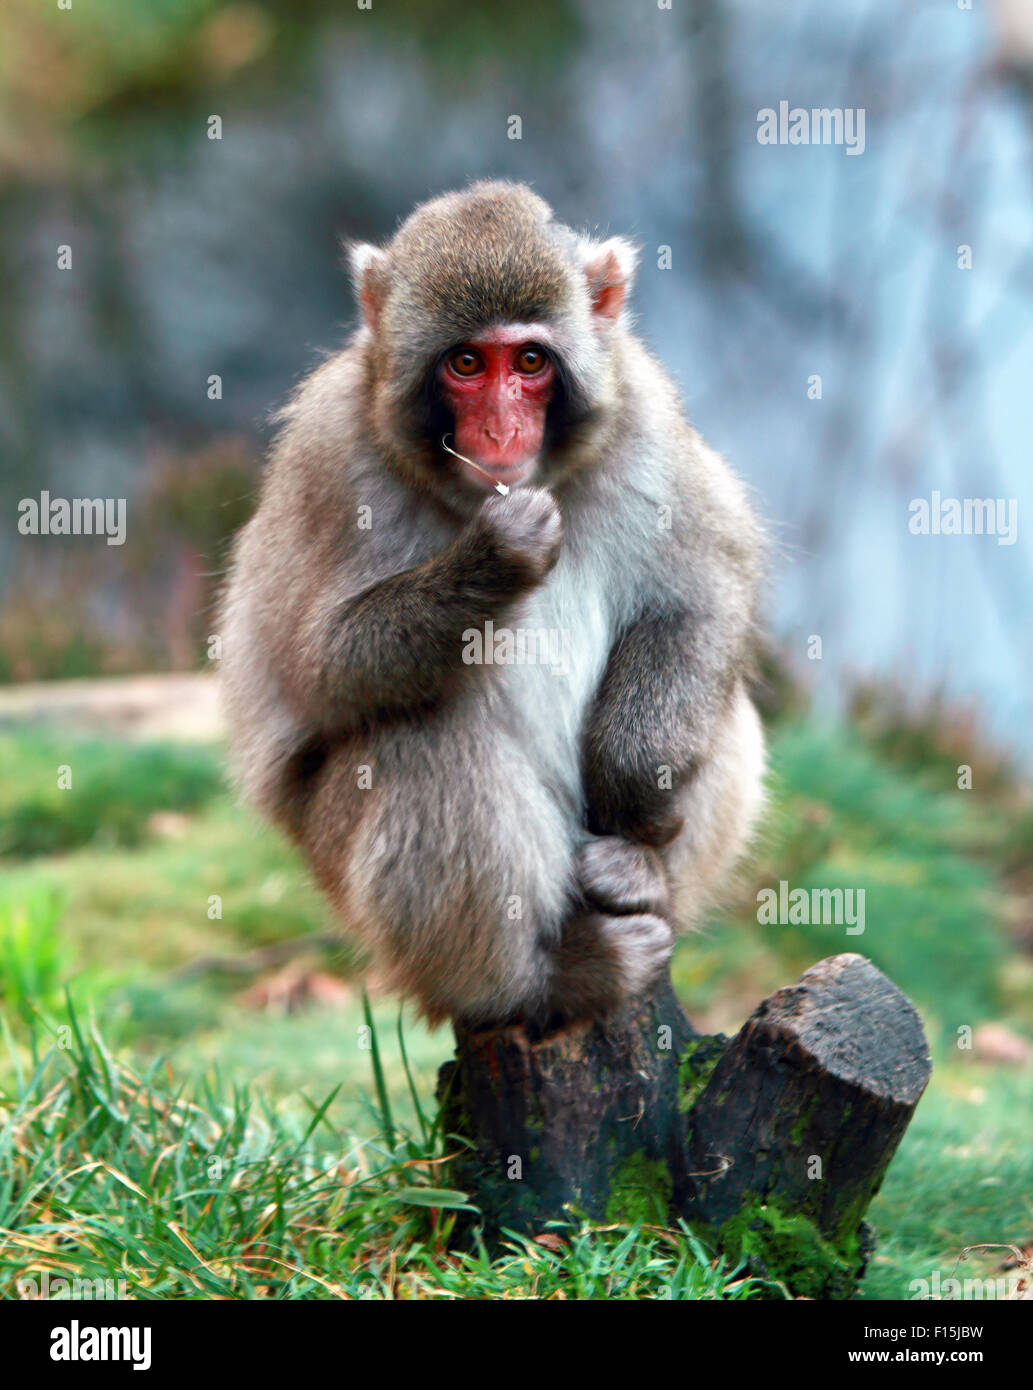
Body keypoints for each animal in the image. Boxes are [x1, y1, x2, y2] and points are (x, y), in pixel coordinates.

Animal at [220, 180, 766, 1032]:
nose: (502, 427)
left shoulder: (643, 416)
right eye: (467, 363)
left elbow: (706, 592)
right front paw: (495, 556)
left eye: (531, 360)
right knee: (420, 746)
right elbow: (320, 668)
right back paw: (546, 983)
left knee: (720, 701)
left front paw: (635, 786)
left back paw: (642, 876)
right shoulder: (327, 458)